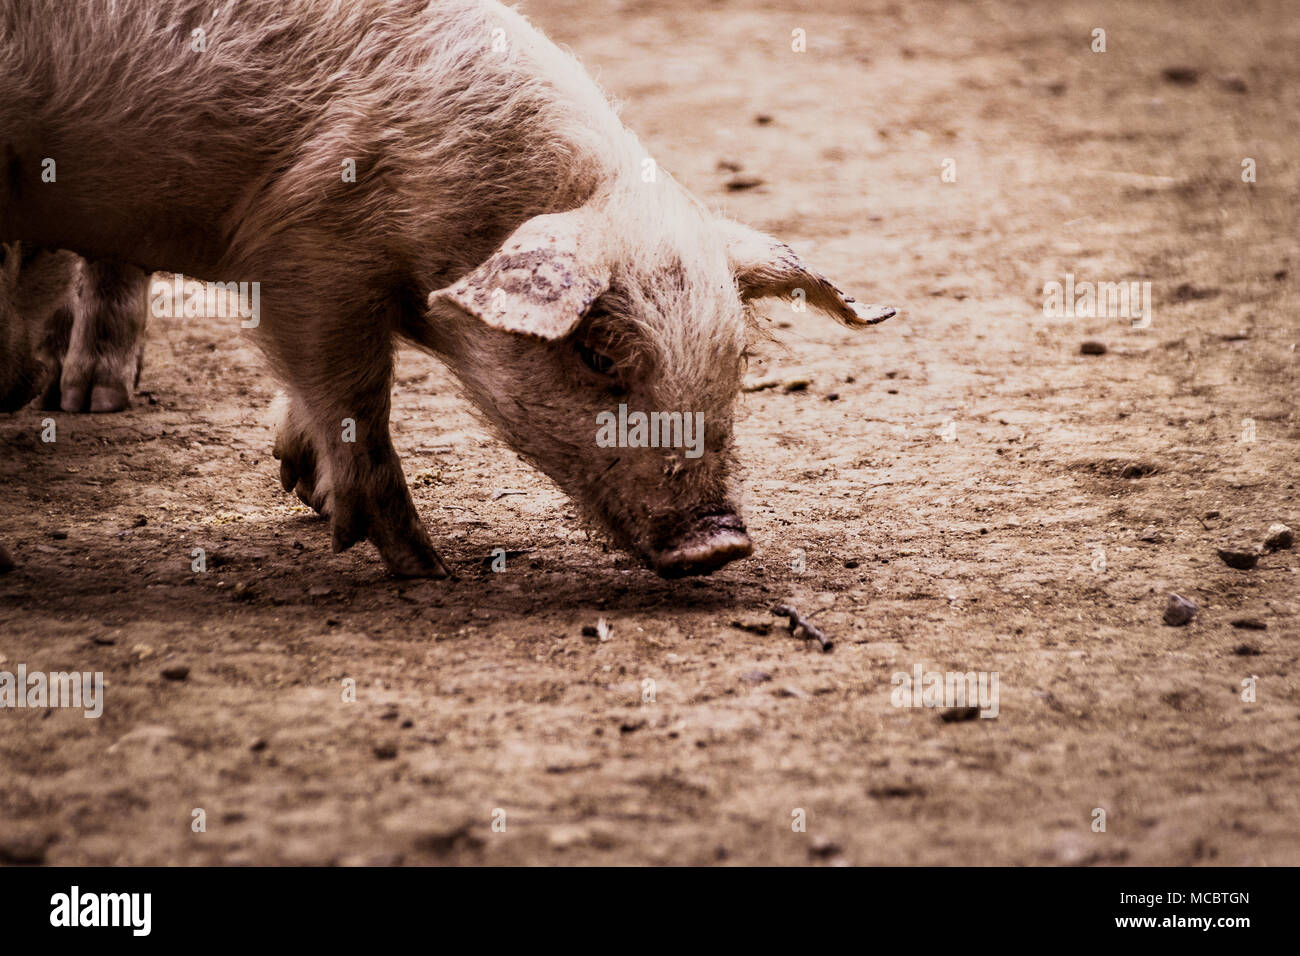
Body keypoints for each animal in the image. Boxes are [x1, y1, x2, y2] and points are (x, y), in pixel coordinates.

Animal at [0, 0, 894, 578]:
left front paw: (308, 490)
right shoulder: (306, 254)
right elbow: (356, 397)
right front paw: (423, 567)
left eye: (736, 358)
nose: (720, 543)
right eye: (600, 357)